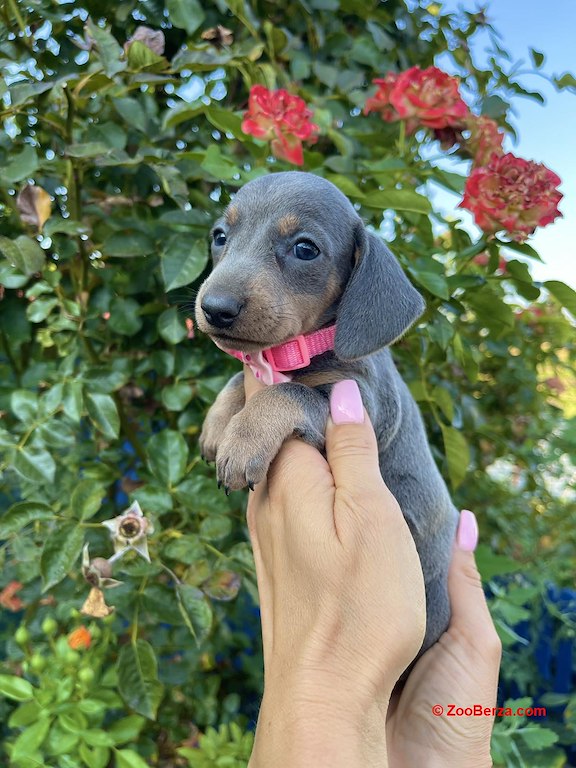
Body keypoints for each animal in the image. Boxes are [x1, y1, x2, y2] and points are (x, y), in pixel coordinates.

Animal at [197, 171, 460, 652]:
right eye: (220, 237)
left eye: (305, 249)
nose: (215, 308)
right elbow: (248, 379)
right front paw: (218, 421)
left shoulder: (360, 402)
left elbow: (287, 393)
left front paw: (243, 439)